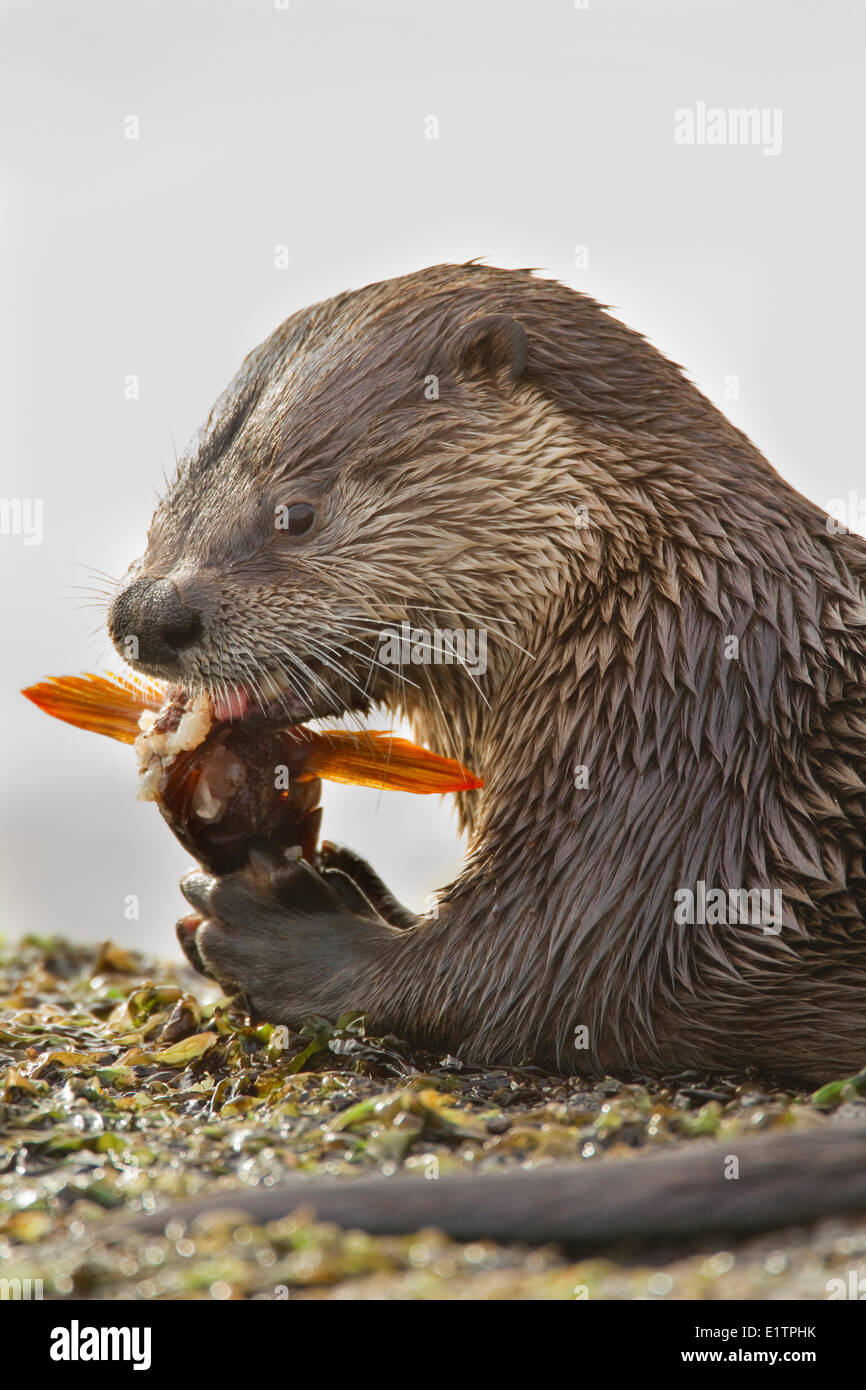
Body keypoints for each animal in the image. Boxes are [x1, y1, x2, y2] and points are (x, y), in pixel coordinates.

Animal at [101, 264, 866, 1247]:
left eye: (296, 513)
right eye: (169, 505)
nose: (148, 612)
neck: (657, 607)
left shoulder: (688, 752)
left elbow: (531, 966)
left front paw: (280, 932)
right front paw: (327, 871)